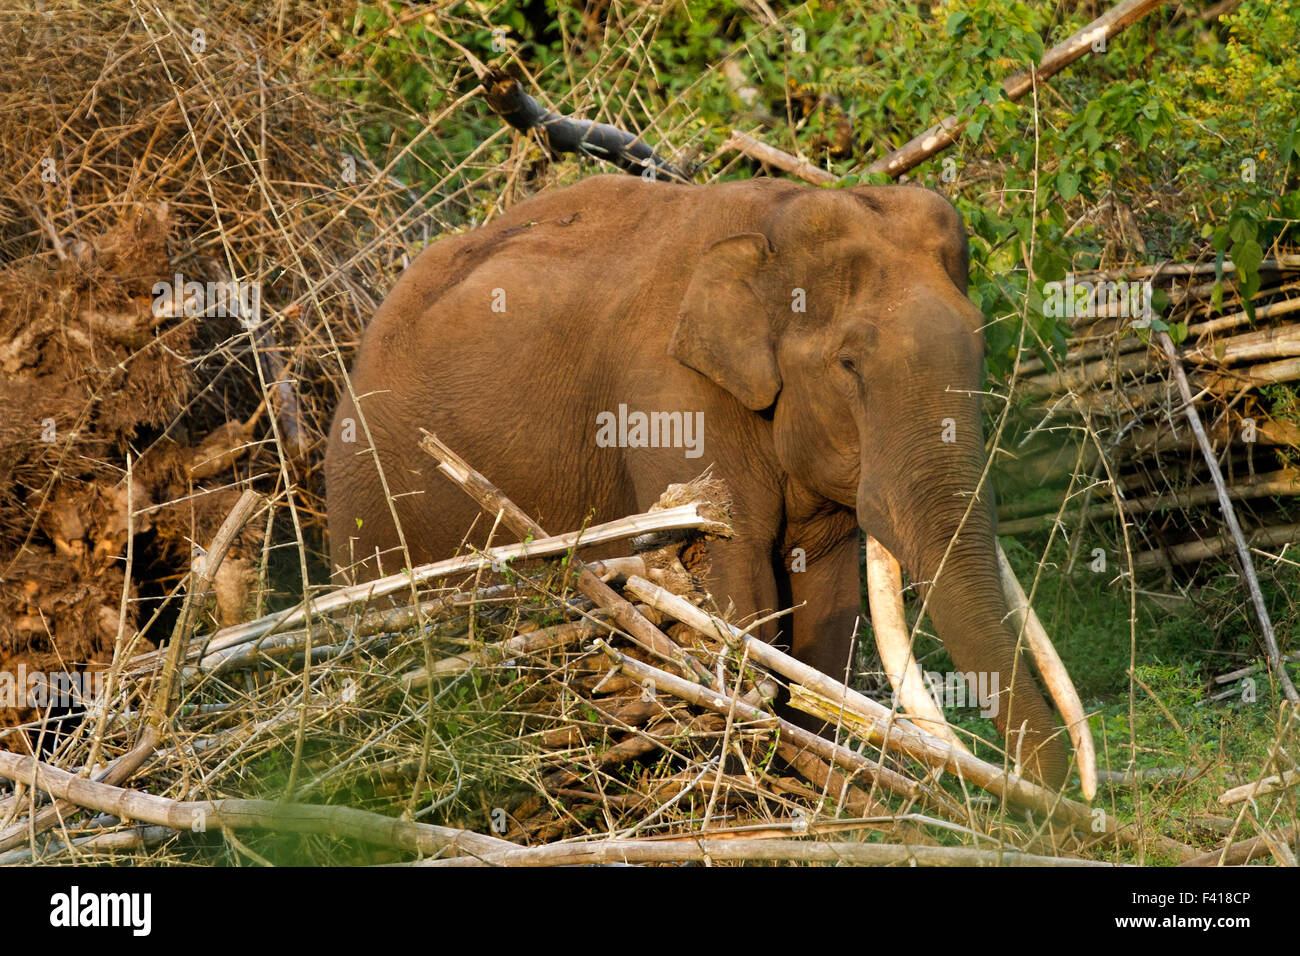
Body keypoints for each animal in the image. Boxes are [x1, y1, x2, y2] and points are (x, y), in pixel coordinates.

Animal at [325, 173, 1072, 788]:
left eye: (980, 345)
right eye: (850, 364)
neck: (772, 224)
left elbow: (824, 606)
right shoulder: (669, 398)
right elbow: (732, 584)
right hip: (373, 509)